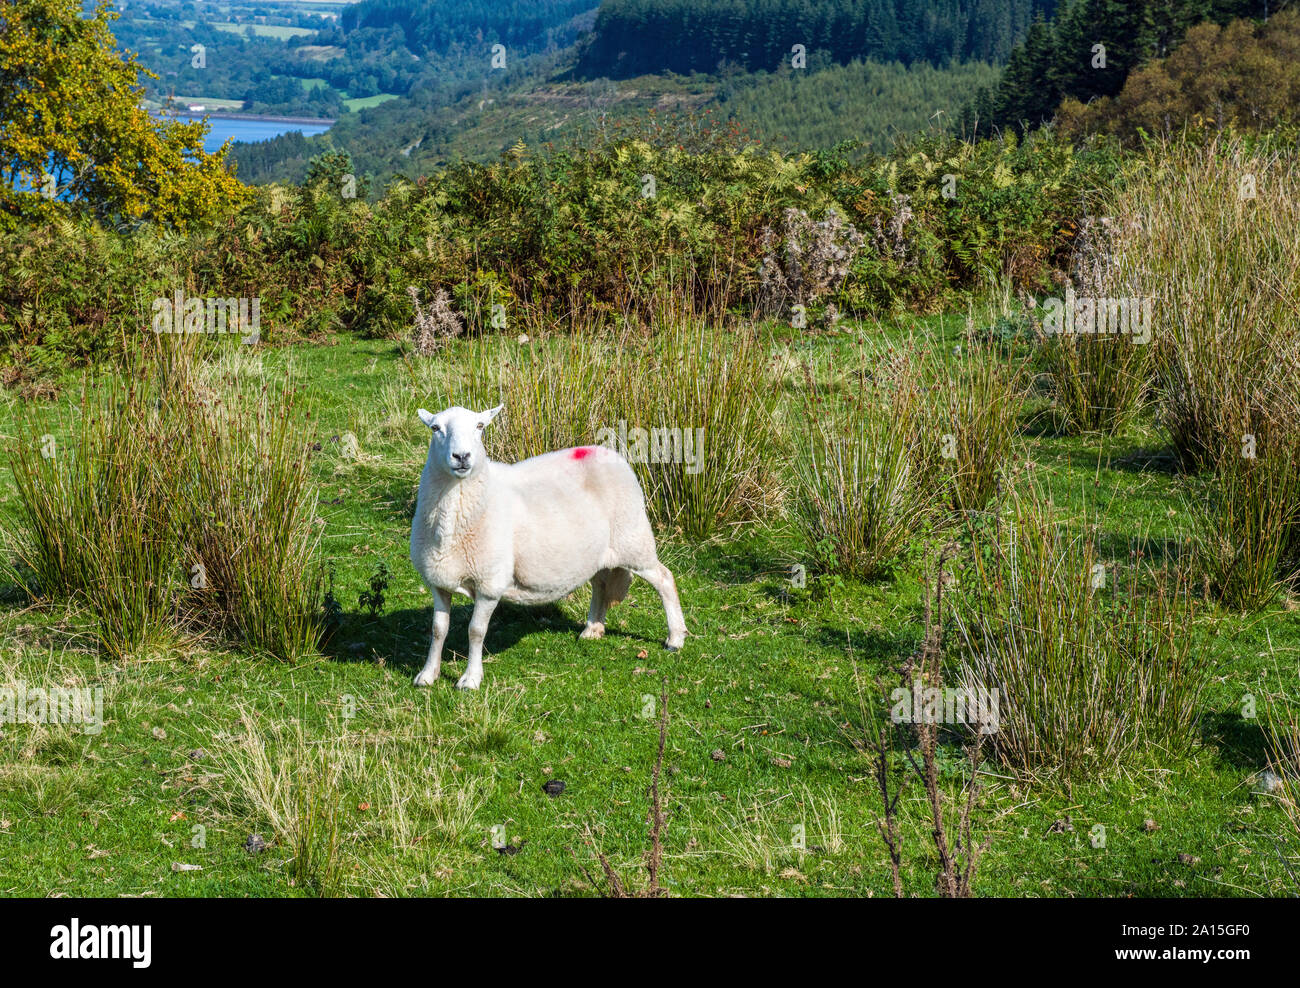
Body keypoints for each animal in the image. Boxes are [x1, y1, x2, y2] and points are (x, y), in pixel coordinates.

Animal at [409, 404, 688, 689]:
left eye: (480, 426)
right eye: (435, 428)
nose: (462, 456)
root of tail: (606, 451)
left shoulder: (489, 584)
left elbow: (476, 631)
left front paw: (471, 679)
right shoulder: (438, 581)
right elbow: (438, 630)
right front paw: (428, 674)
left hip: (633, 540)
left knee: (665, 579)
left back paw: (675, 638)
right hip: (597, 553)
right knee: (601, 584)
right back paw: (593, 629)